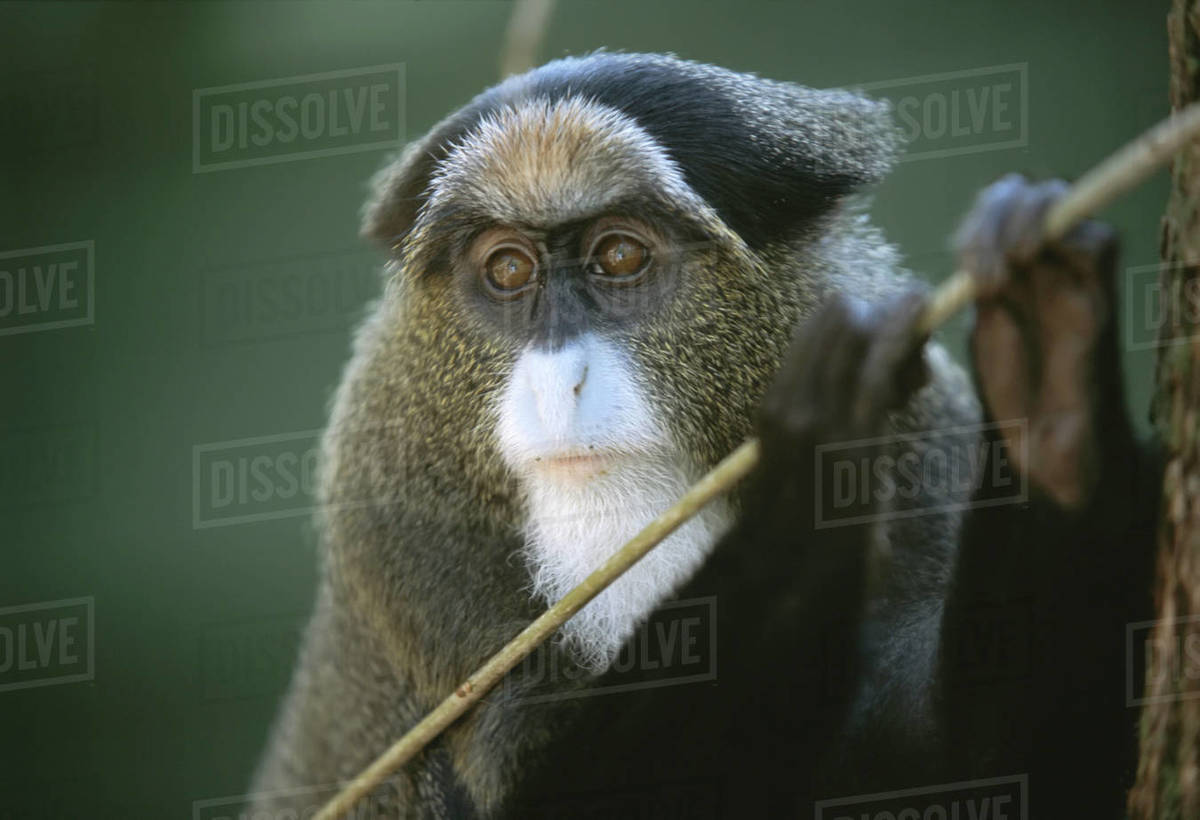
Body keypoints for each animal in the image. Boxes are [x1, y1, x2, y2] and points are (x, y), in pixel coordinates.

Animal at [248, 52, 1161, 819]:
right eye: (506, 269)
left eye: (619, 256)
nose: (559, 384)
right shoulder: (396, 524)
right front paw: (810, 462)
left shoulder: (932, 446)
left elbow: (997, 765)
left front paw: (1054, 370)